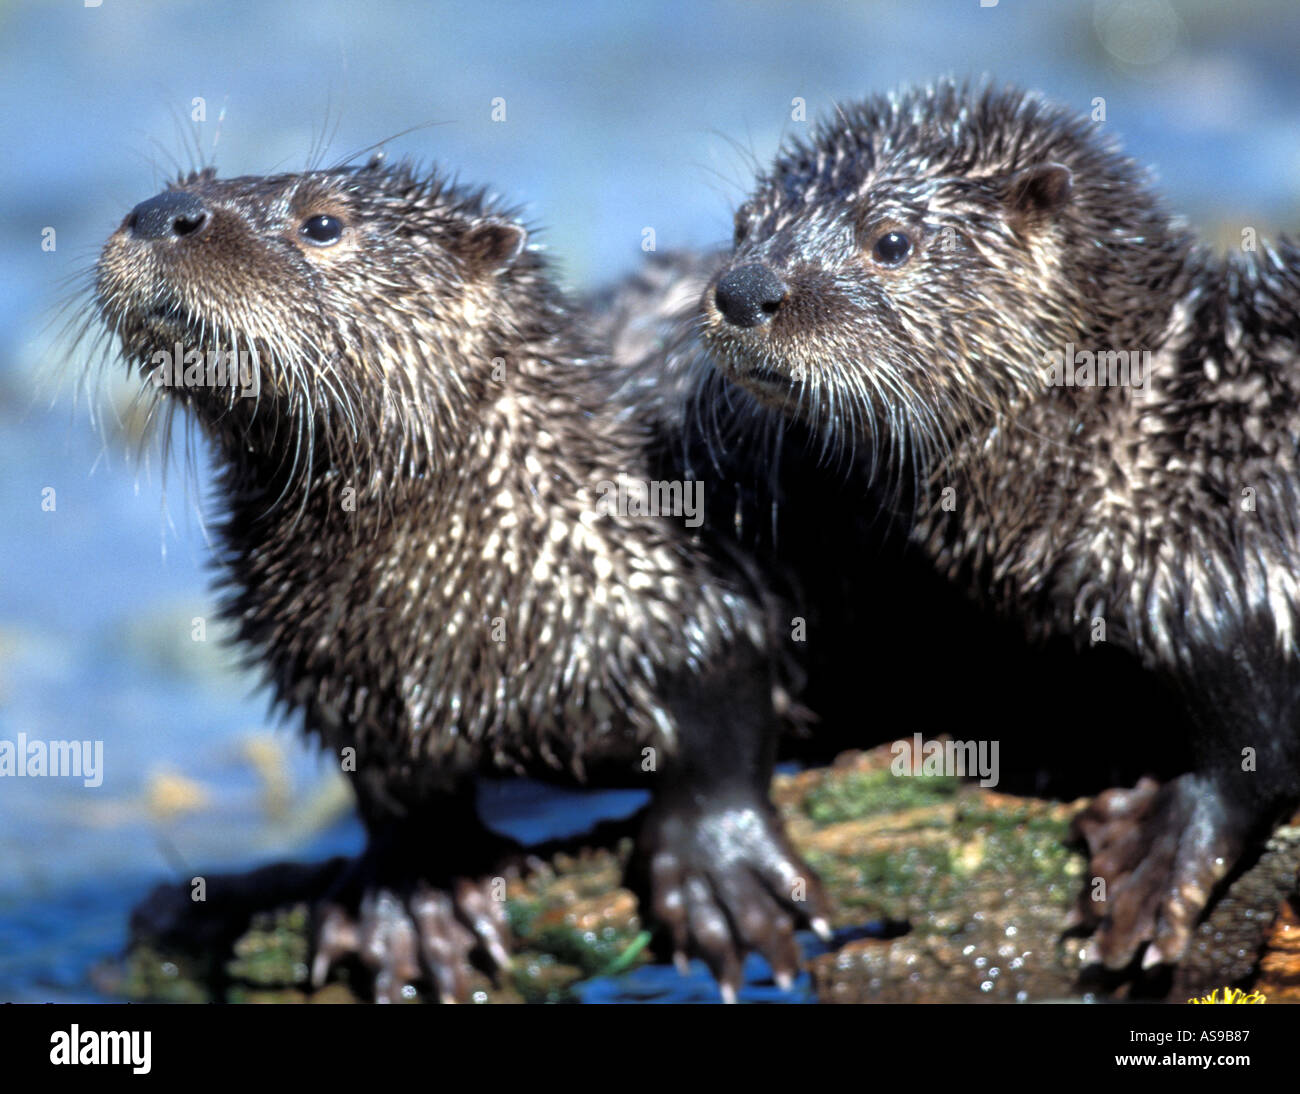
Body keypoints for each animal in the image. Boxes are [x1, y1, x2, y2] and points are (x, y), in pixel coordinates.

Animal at [92, 156, 828, 1002]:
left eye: (323, 224)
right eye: (193, 177)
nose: (164, 212)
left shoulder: (681, 581)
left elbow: (728, 701)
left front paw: (719, 864)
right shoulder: (343, 679)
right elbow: (394, 790)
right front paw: (419, 896)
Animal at [688, 79, 1300, 977]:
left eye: (892, 240)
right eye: (742, 224)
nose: (743, 288)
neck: (1145, 438)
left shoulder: (1234, 557)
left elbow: (1255, 745)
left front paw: (1158, 861)